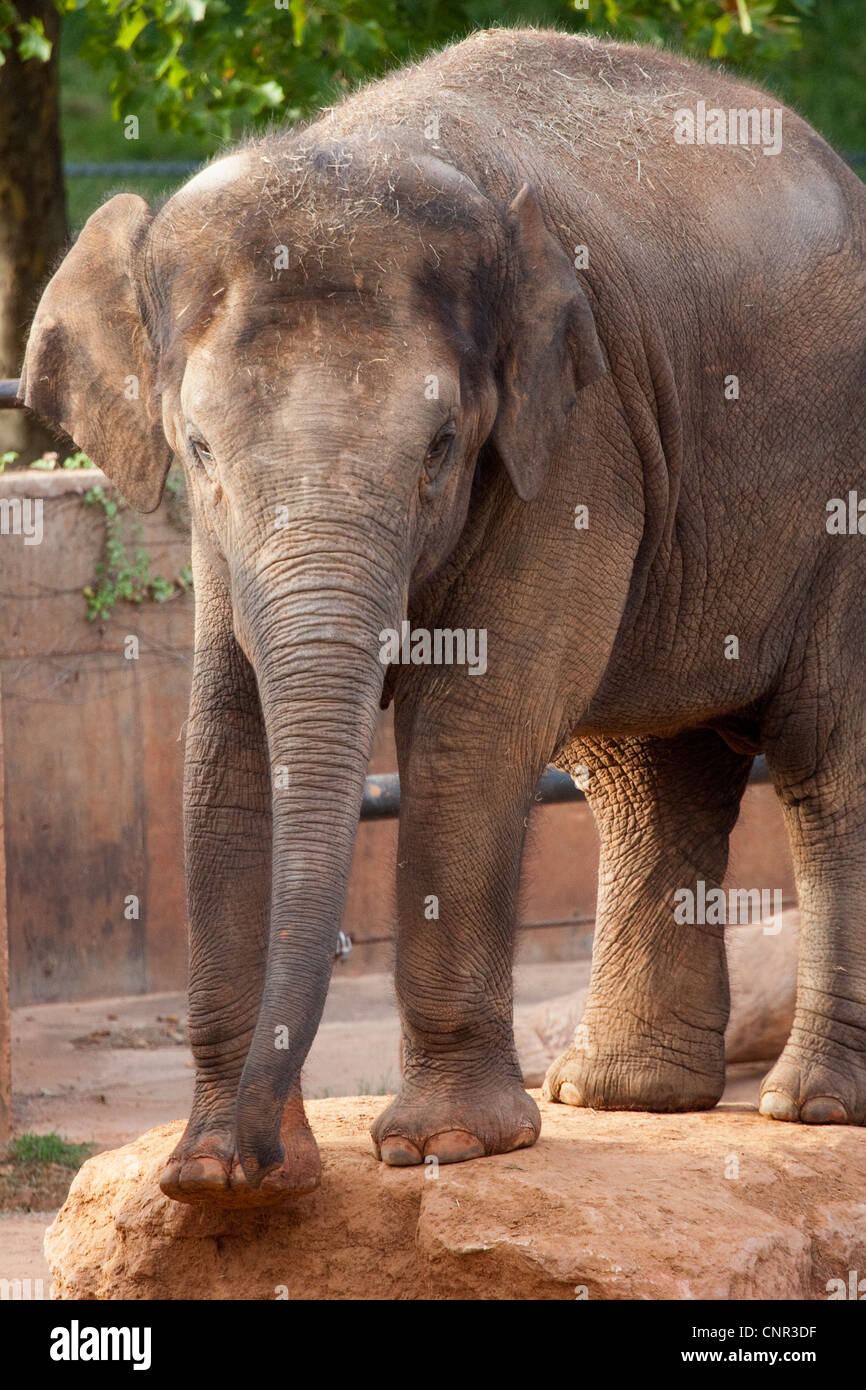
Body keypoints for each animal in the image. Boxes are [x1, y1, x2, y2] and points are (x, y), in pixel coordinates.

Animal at [21, 28, 866, 1207]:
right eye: (196, 448)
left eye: (439, 449)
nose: (264, 1157)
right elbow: (222, 736)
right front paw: (209, 1176)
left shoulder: (580, 433)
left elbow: (478, 725)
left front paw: (446, 1147)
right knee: (649, 776)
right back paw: (619, 1095)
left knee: (826, 760)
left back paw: (813, 1109)